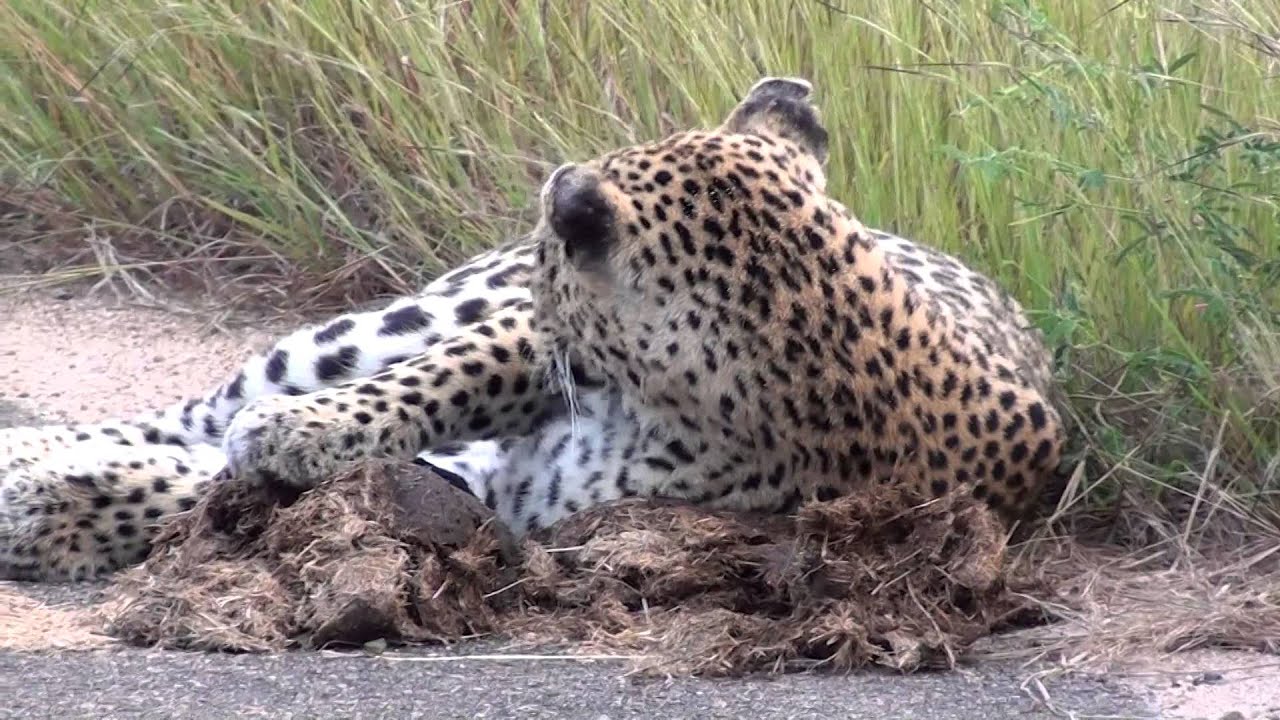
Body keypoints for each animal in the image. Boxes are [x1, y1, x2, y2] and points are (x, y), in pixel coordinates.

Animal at [0, 76, 1065, 583]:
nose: (536, 261)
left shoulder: (517, 491)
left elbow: (218, 482)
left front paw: (58, 510)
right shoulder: (512, 351)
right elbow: (424, 388)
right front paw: (295, 433)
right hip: (408, 315)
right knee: (207, 403)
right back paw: (48, 443)